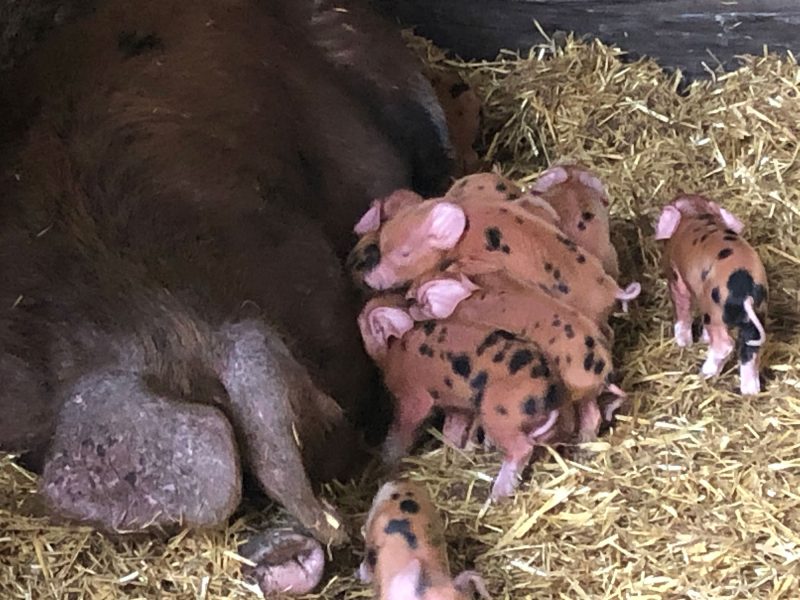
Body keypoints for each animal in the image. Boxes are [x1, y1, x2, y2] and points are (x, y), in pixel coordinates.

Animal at [358, 294, 567, 499]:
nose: (359, 314)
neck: (395, 352)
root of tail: (550, 394)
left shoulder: (413, 397)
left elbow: (401, 428)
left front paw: (388, 461)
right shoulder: (456, 405)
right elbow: (453, 430)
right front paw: (456, 452)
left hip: (498, 413)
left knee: (522, 449)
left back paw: (496, 495)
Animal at [655, 194, 768, 395]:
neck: (695, 214)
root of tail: (746, 294)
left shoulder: (676, 278)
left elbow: (682, 307)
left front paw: (684, 343)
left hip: (714, 311)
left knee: (725, 345)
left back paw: (704, 372)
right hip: (757, 314)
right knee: (750, 349)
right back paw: (749, 392)